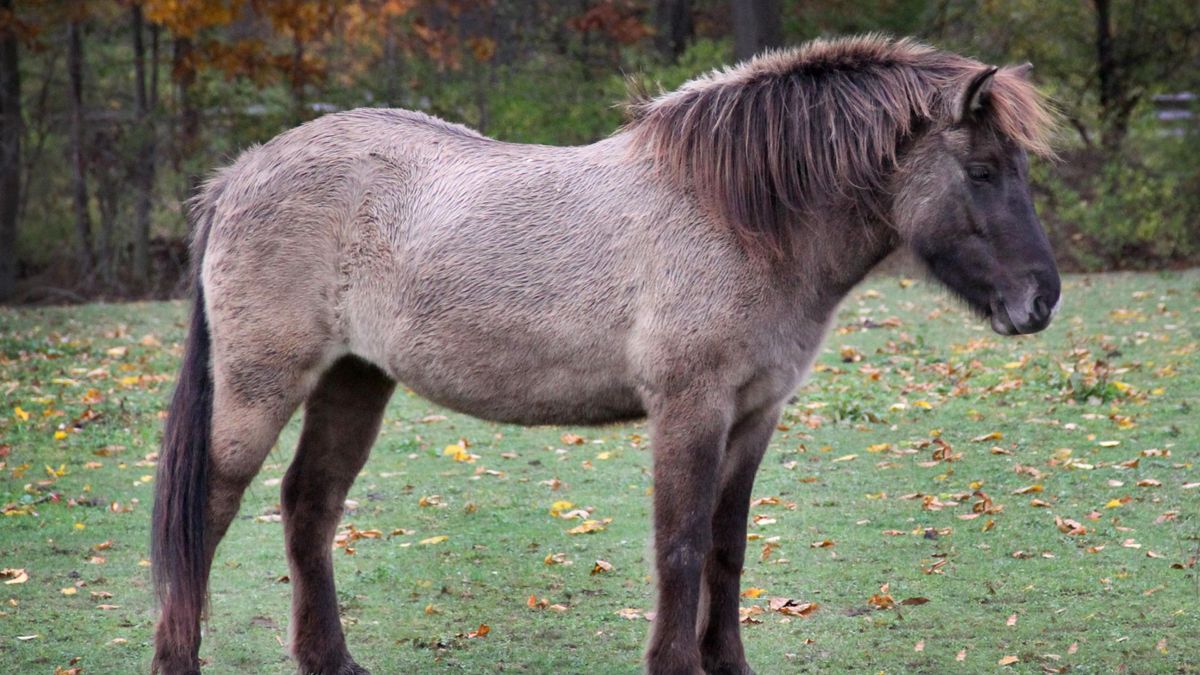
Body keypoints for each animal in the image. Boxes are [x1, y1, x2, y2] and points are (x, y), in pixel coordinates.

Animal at [152, 35, 1060, 674]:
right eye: (983, 170)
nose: (1042, 299)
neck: (733, 215)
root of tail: (239, 174)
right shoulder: (690, 409)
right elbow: (681, 546)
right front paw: (675, 663)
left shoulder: (755, 415)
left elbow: (727, 546)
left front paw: (727, 661)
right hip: (258, 389)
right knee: (209, 510)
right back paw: (179, 655)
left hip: (354, 379)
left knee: (310, 504)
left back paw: (331, 657)